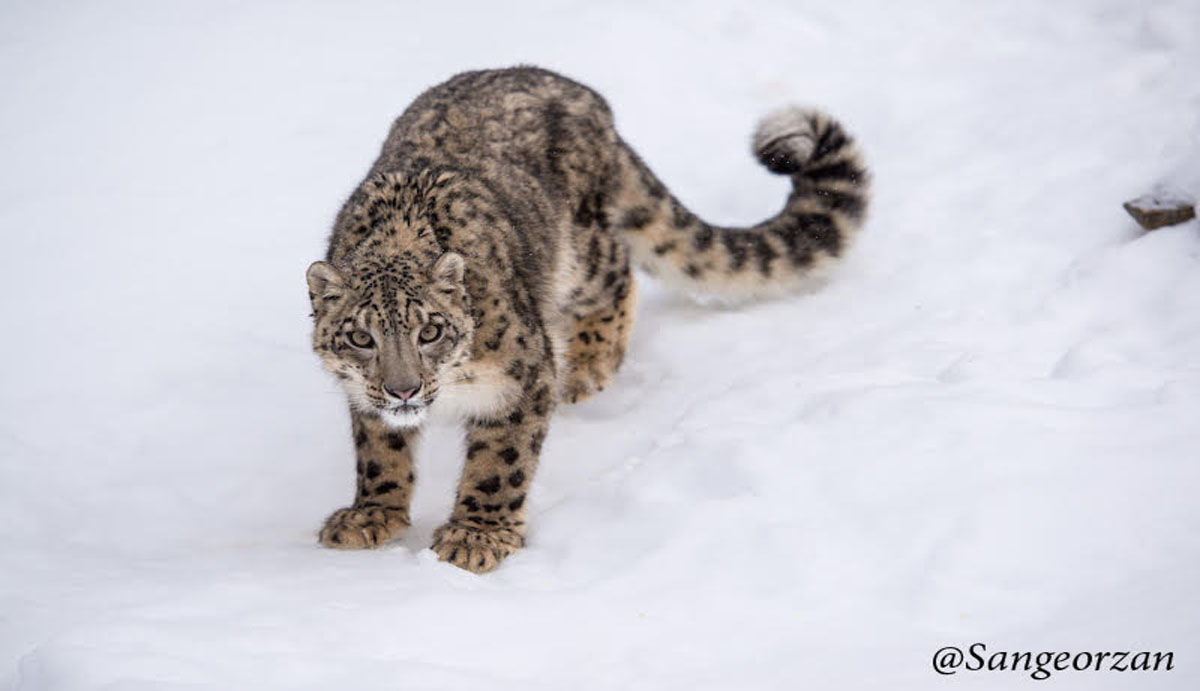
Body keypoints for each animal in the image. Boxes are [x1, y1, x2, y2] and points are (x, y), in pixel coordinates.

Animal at [306, 66, 870, 573]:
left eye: (430, 331)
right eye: (361, 337)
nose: (403, 389)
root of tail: (584, 95)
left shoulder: (522, 377)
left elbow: (499, 464)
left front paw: (476, 536)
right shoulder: (364, 396)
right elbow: (379, 450)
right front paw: (370, 515)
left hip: (585, 255)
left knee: (621, 274)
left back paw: (587, 368)